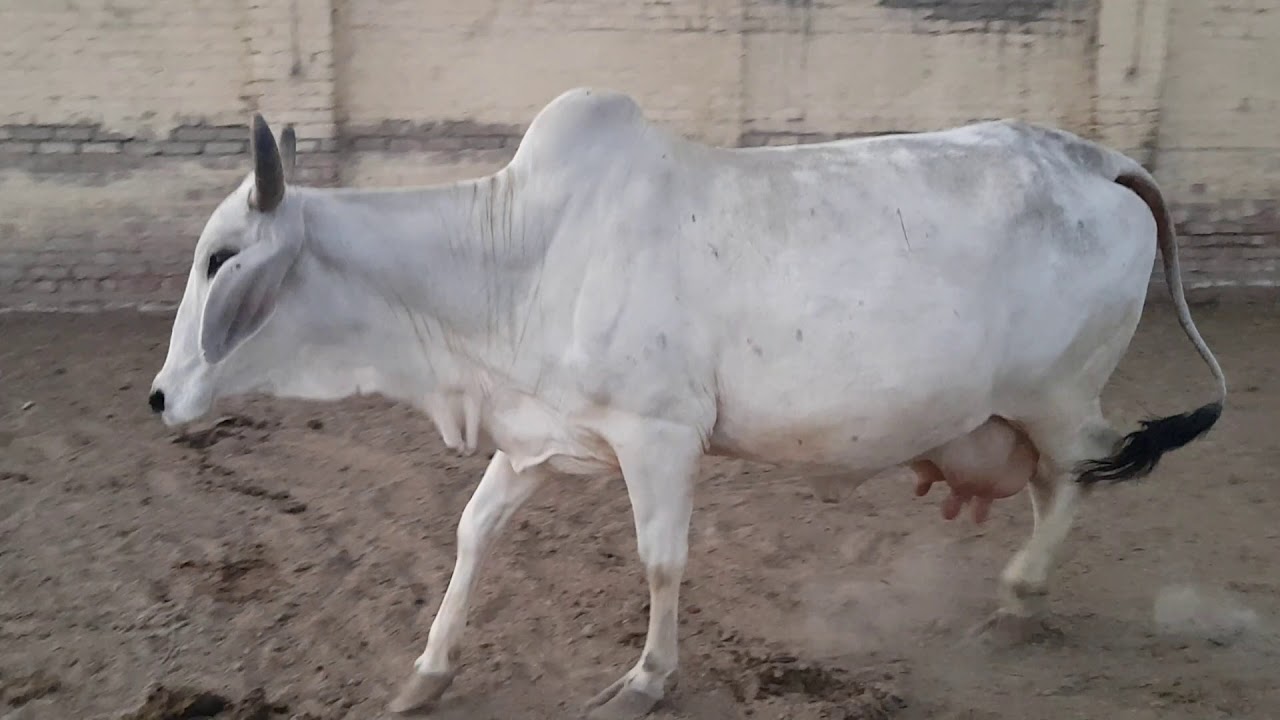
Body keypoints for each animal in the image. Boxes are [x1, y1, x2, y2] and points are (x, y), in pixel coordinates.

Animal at [147, 87, 1226, 719]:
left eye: (220, 258)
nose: (159, 397)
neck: (513, 257)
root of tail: (1095, 158)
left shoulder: (659, 435)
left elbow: (660, 561)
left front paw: (645, 679)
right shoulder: (533, 436)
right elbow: (471, 533)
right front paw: (426, 671)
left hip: (1059, 397)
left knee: (1073, 484)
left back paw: (1018, 597)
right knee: (1062, 485)